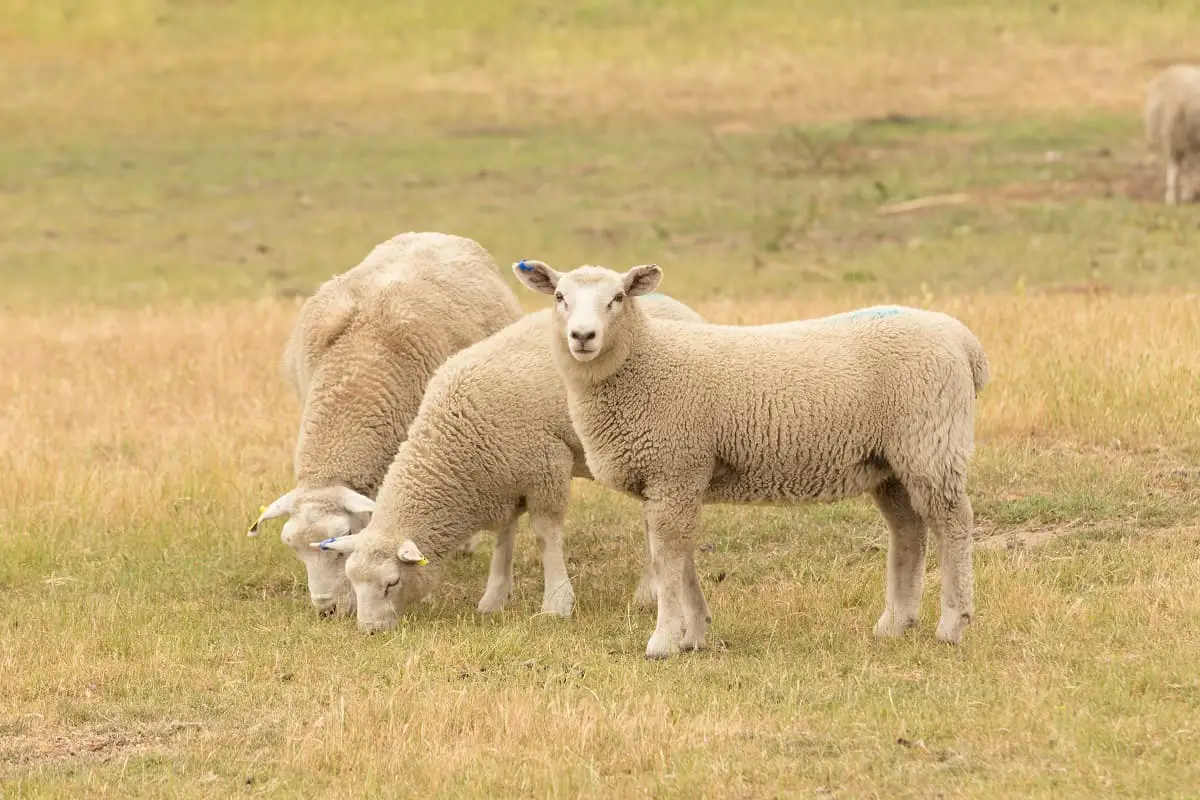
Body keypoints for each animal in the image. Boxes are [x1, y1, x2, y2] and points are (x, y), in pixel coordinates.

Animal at [311, 293, 705, 634]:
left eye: (392, 583)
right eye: (352, 580)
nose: (369, 630)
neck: (453, 442)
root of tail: (679, 307)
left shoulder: (546, 463)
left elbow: (546, 536)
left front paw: (557, 603)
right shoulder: (501, 475)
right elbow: (505, 536)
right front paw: (494, 598)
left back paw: (648, 590)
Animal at [512, 259, 990, 659]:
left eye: (617, 297)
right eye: (560, 297)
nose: (583, 337)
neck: (643, 361)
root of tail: (965, 342)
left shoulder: (675, 468)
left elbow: (667, 560)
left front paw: (663, 641)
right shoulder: (672, 479)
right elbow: (681, 558)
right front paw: (694, 634)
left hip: (931, 444)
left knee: (953, 525)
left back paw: (953, 623)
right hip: (891, 461)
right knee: (909, 530)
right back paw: (895, 623)